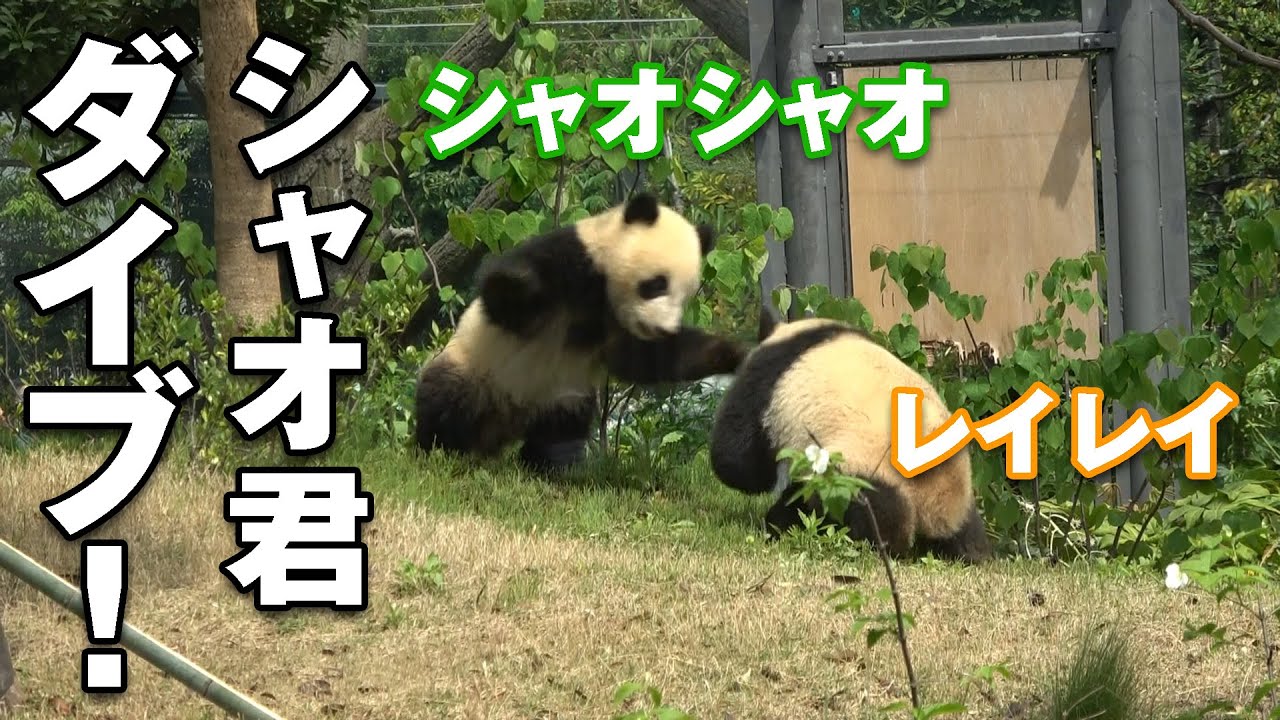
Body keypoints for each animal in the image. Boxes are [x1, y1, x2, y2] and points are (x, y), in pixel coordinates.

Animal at [414, 192, 747, 473]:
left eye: (684, 297)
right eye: (656, 284)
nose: (662, 328)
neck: (603, 288)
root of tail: (502, 425)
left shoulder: (615, 324)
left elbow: (643, 358)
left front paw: (734, 354)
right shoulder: (571, 258)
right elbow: (507, 296)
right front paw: (519, 283)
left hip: (558, 394)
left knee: (562, 425)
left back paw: (545, 465)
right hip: (479, 368)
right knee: (446, 395)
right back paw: (439, 447)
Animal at [708, 304, 993, 563]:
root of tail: (938, 503)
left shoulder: (766, 380)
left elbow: (737, 459)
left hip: (863, 469)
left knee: (864, 510)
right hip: (962, 500)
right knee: (967, 534)